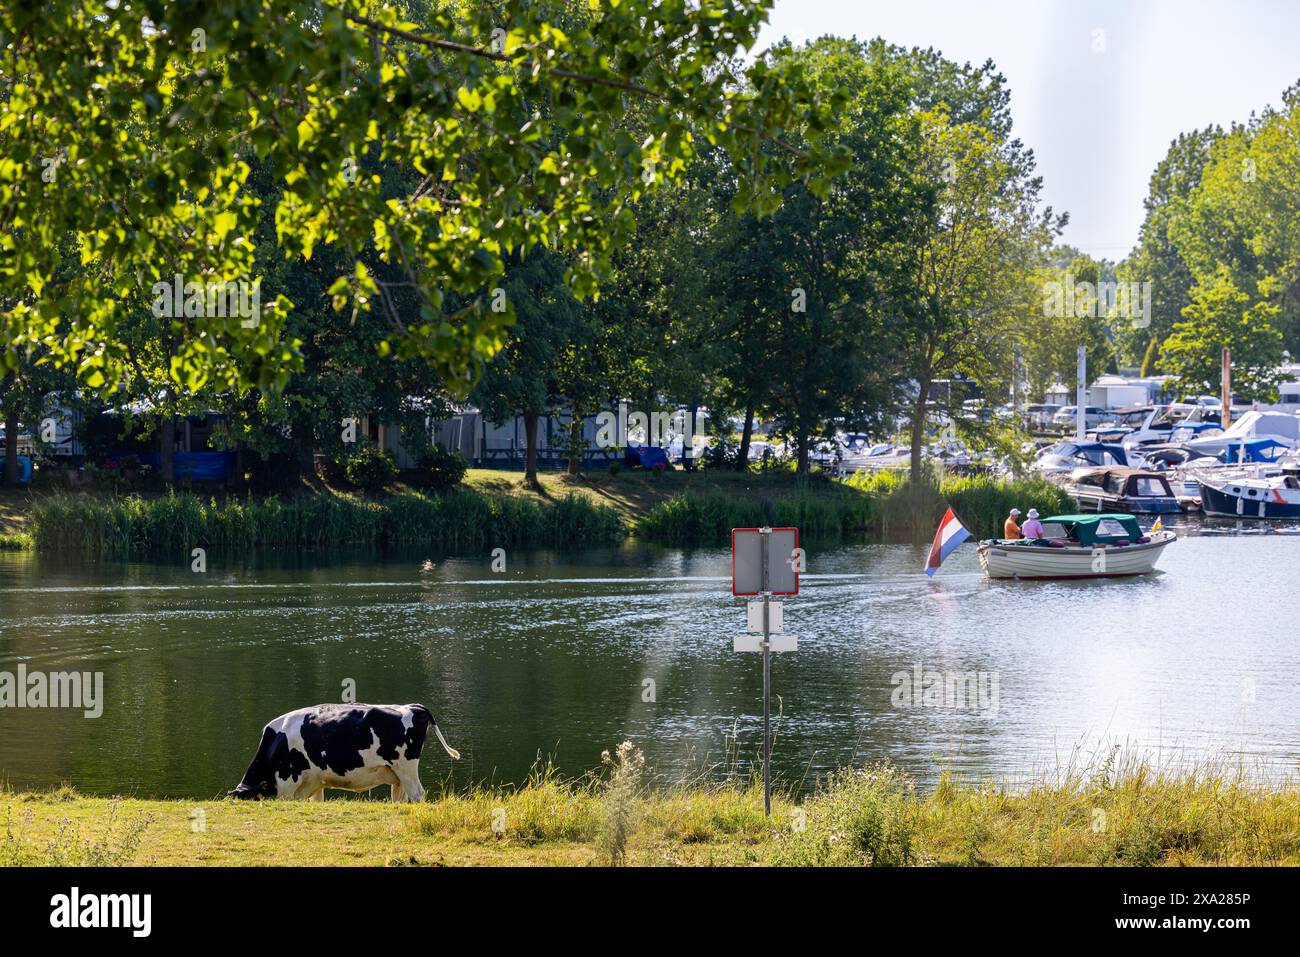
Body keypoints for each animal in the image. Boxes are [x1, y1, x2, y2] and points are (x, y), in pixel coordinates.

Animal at [228, 703, 460, 802]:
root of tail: (415, 707)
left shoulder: (287, 781)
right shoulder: (314, 782)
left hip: (406, 768)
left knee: (418, 795)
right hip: (398, 775)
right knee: (401, 798)